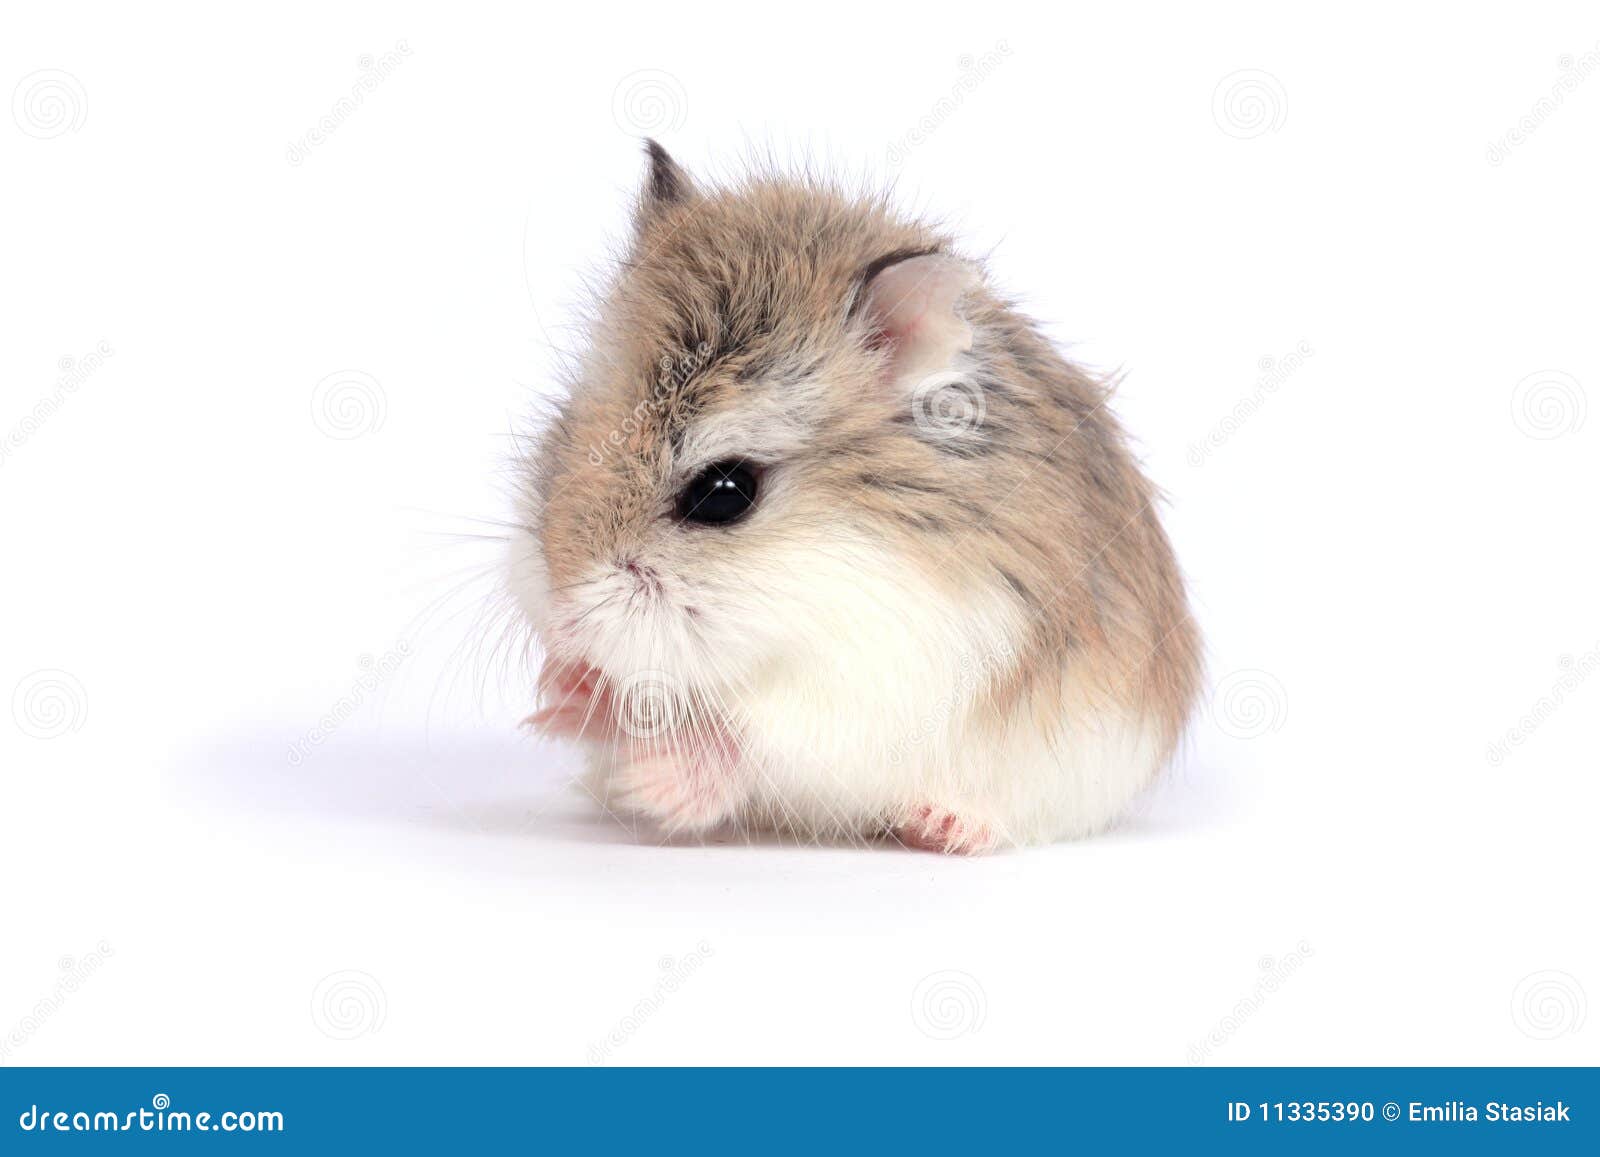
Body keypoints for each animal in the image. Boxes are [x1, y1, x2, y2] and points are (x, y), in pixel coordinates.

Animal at [508, 142, 1201, 853]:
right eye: (569, 427)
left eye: (725, 492)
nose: (561, 617)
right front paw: (566, 687)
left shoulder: (882, 676)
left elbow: (751, 739)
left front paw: (654, 783)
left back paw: (942, 825)